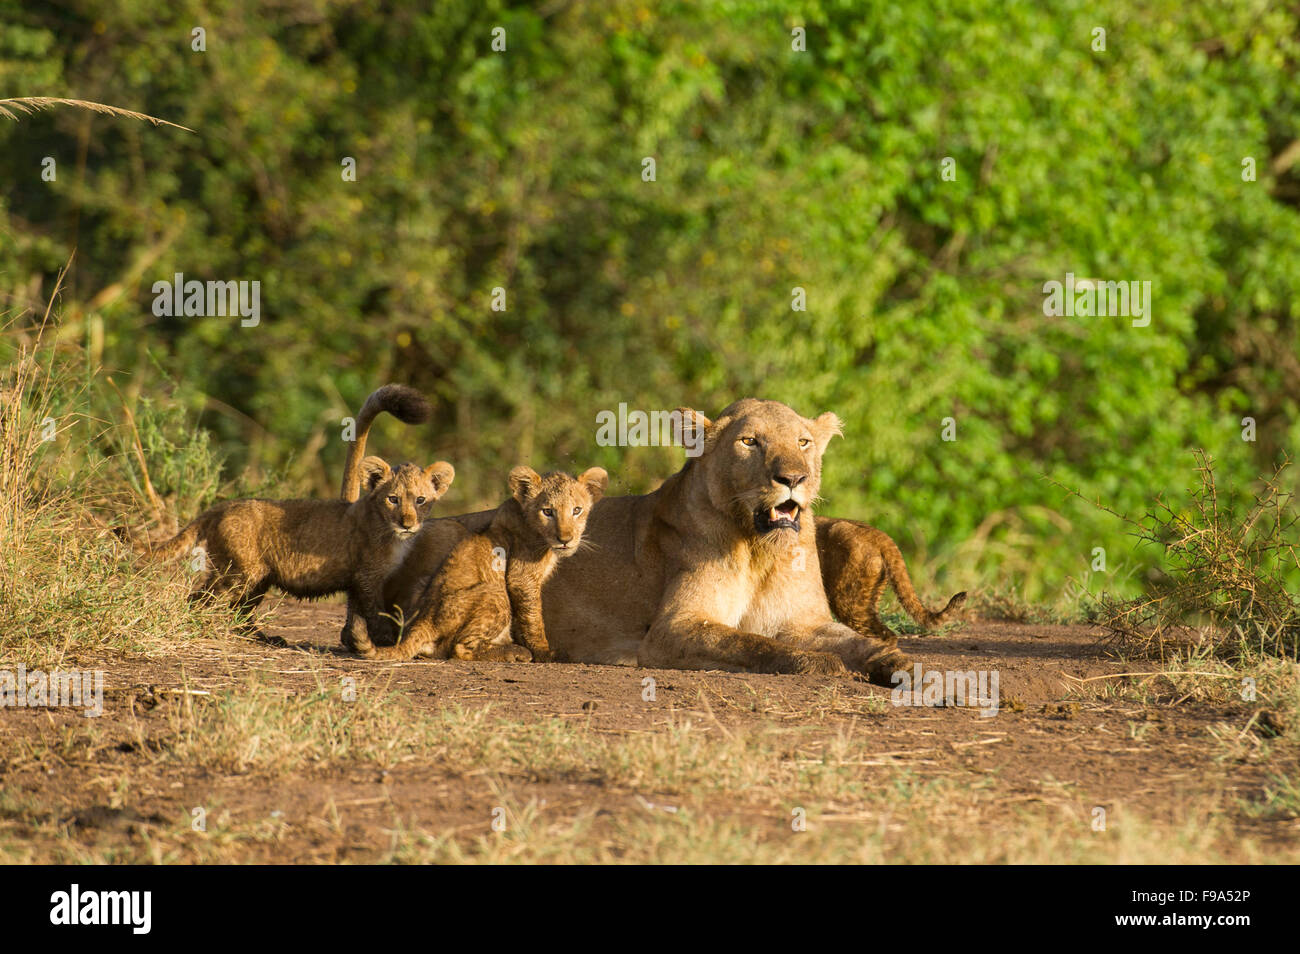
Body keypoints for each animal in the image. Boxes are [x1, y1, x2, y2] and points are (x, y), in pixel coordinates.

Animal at [355, 465, 608, 661]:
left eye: (577, 510)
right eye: (548, 512)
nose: (565, 540)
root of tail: (423, 622)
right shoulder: (520, 578)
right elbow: (533, 618)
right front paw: (545, 653)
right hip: (495, 594)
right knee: (459, 649)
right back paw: (514, 652)